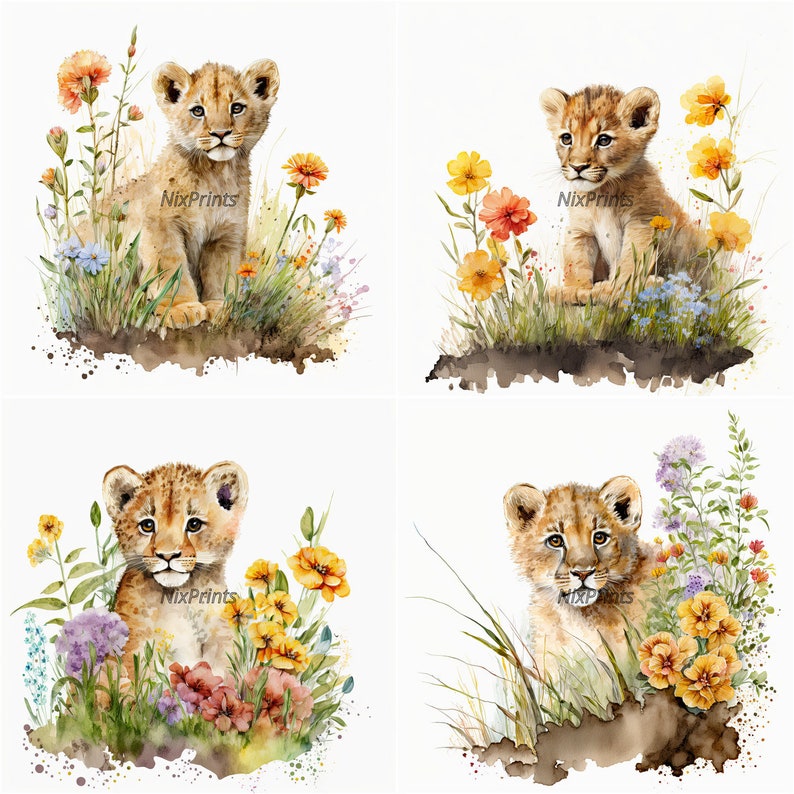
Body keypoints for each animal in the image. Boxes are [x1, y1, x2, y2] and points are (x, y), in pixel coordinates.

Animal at [110, 58, 279, 328]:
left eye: (237, 108)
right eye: (198, 111)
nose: (220, 133)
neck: (215, 175)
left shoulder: (226, 234)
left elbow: (221, 273)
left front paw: (220, 307)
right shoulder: (159, 226)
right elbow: (171, 268)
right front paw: (182, 309)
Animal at [540, 84, 704, 304]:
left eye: (604, 140)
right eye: (567, 138)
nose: (577, 167)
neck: (603, 193)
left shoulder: (642, 221)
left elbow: (631, 258)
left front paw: (618, 289)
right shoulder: (580, 230)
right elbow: (576, 261)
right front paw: (574, 290)